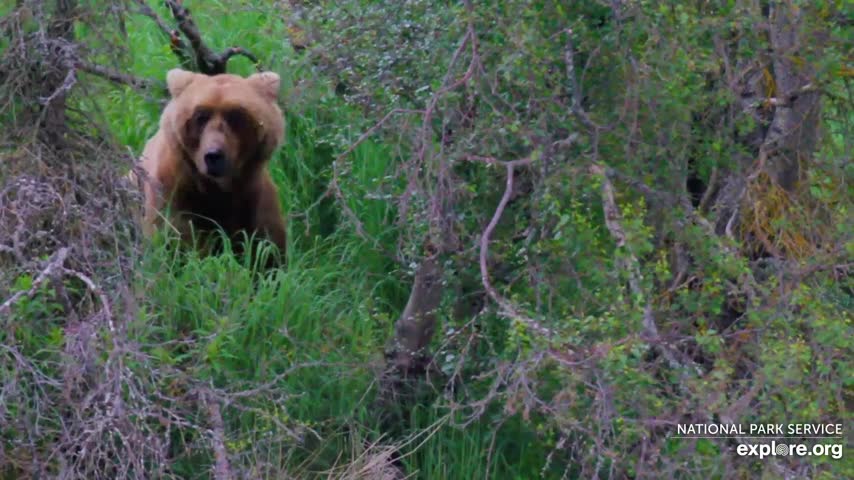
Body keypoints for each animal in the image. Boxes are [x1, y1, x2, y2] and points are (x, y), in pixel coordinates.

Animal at [133, 68, 287, 265]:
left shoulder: (254, 198)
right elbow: (175, 240)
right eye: (201, 117)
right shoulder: (172, 191)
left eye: (235, 116)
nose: (213, 155)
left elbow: (267, 248)